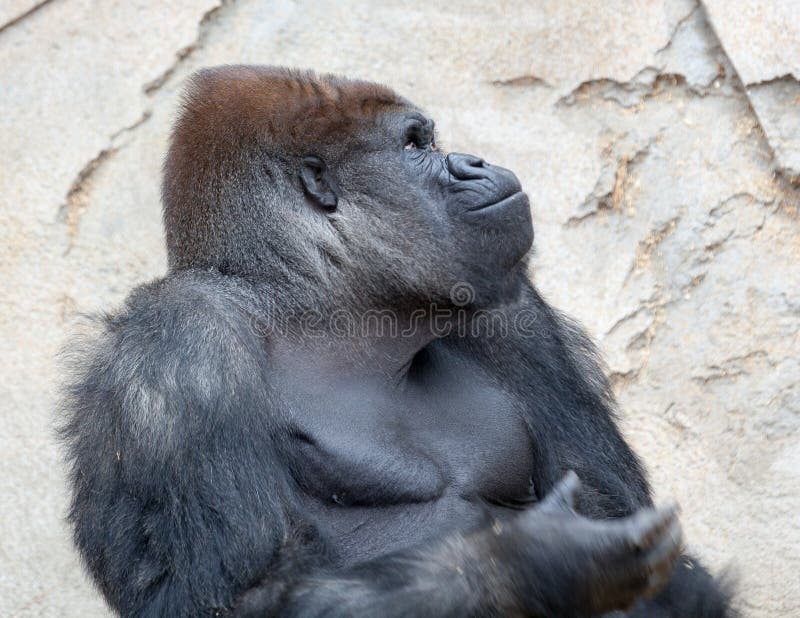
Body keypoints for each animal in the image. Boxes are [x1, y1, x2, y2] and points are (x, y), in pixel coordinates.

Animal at [60, 65, 732, 617]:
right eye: (415, 146)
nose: (476, 161)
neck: (316, 307)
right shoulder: (179, 344)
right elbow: (230, 597)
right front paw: (529, 566)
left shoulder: (509, 310)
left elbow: (624, 520)